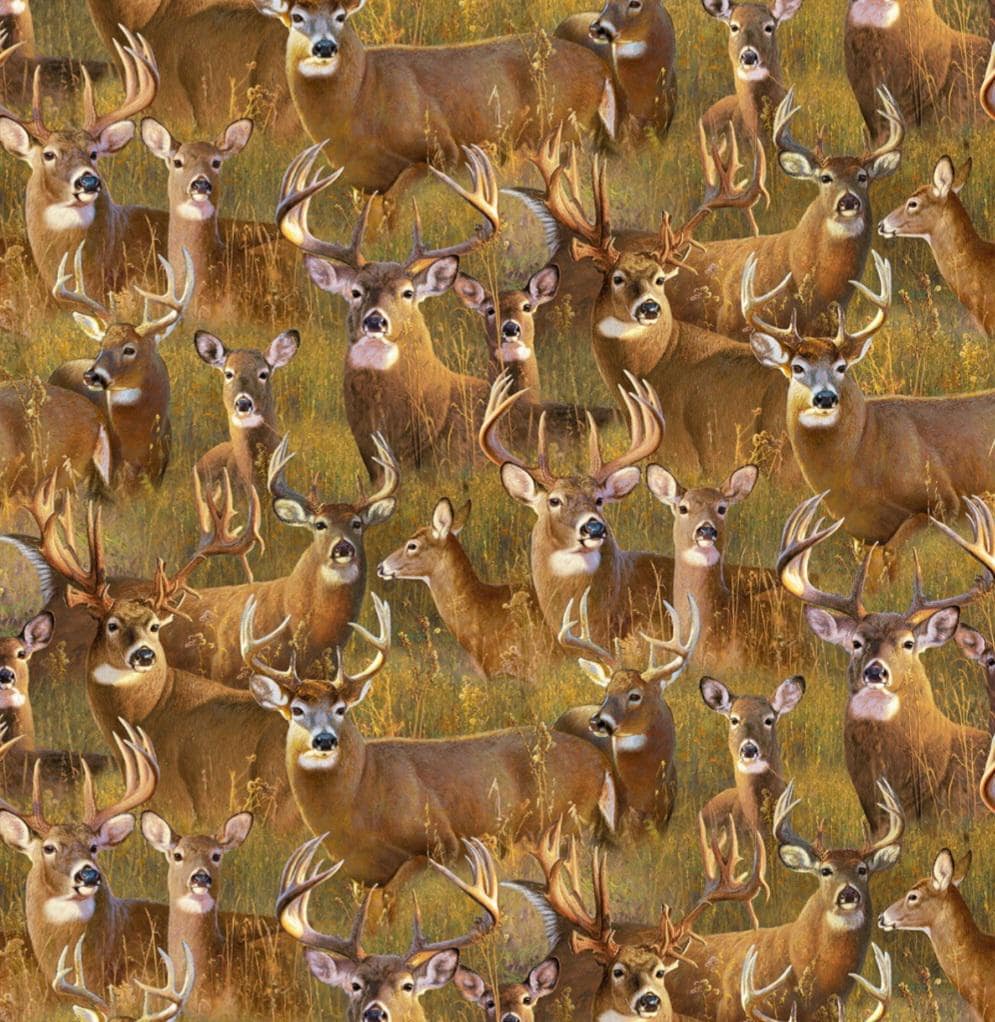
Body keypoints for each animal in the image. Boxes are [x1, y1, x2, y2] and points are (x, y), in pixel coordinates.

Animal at [244, 593, 619, 891]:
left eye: (340, 709)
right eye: (296, 710)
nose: (324, 740)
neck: (361, 795)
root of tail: (598, 759)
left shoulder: (441, 841)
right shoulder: (361, 873)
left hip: (562, 823)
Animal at [251, 0, 617, 198]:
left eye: (341, 16)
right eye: (296, 17)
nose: (325, 47)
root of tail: (598, 67)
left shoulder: (443, 148)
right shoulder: (364, 181)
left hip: (559, 131)